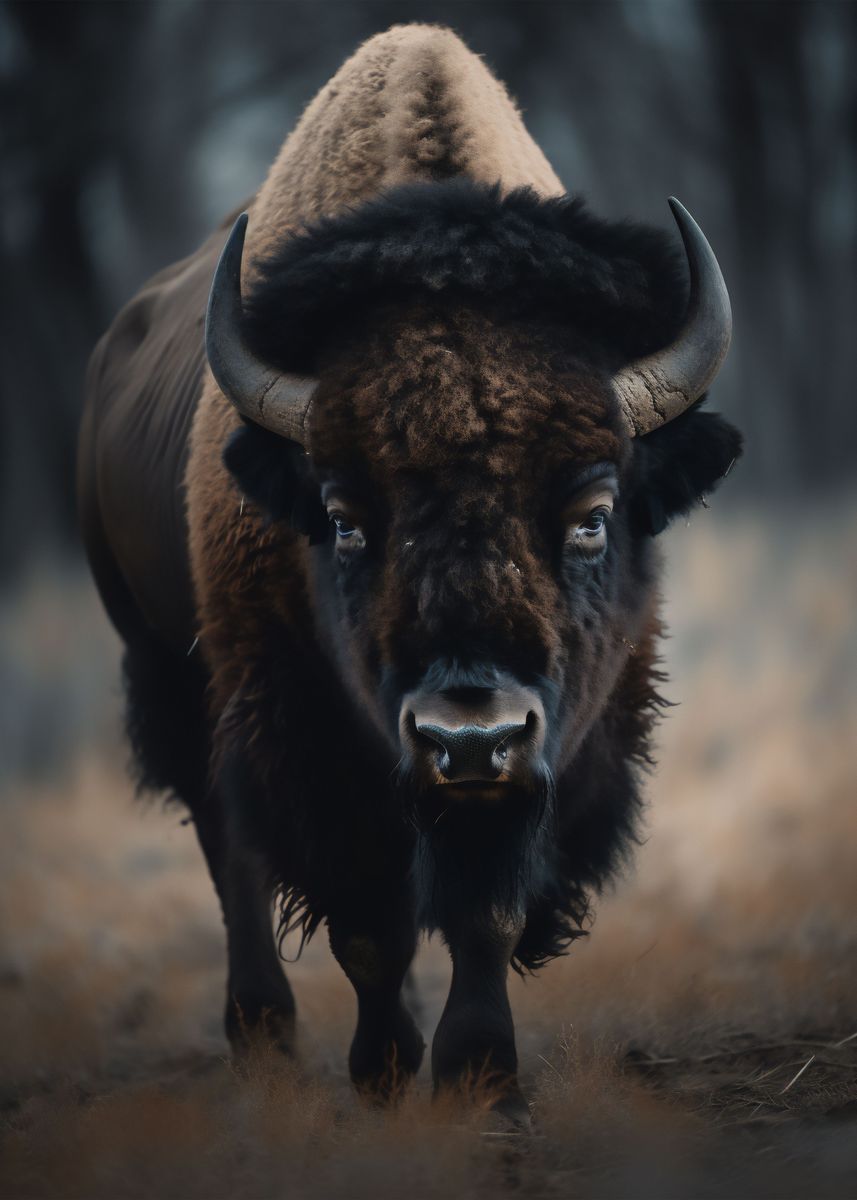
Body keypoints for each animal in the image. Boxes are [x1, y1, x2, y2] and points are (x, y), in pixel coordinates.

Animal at [78, 25, 741, 1122]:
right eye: (344, 519)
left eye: (593, 517)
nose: (466, 736)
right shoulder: (307, 729)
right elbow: (366, 921)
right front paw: (385, 1071)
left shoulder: (563, 741)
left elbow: (486, 912)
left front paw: (477, 1072)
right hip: (168, 672)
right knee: (229, 843)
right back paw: (262, 1034)